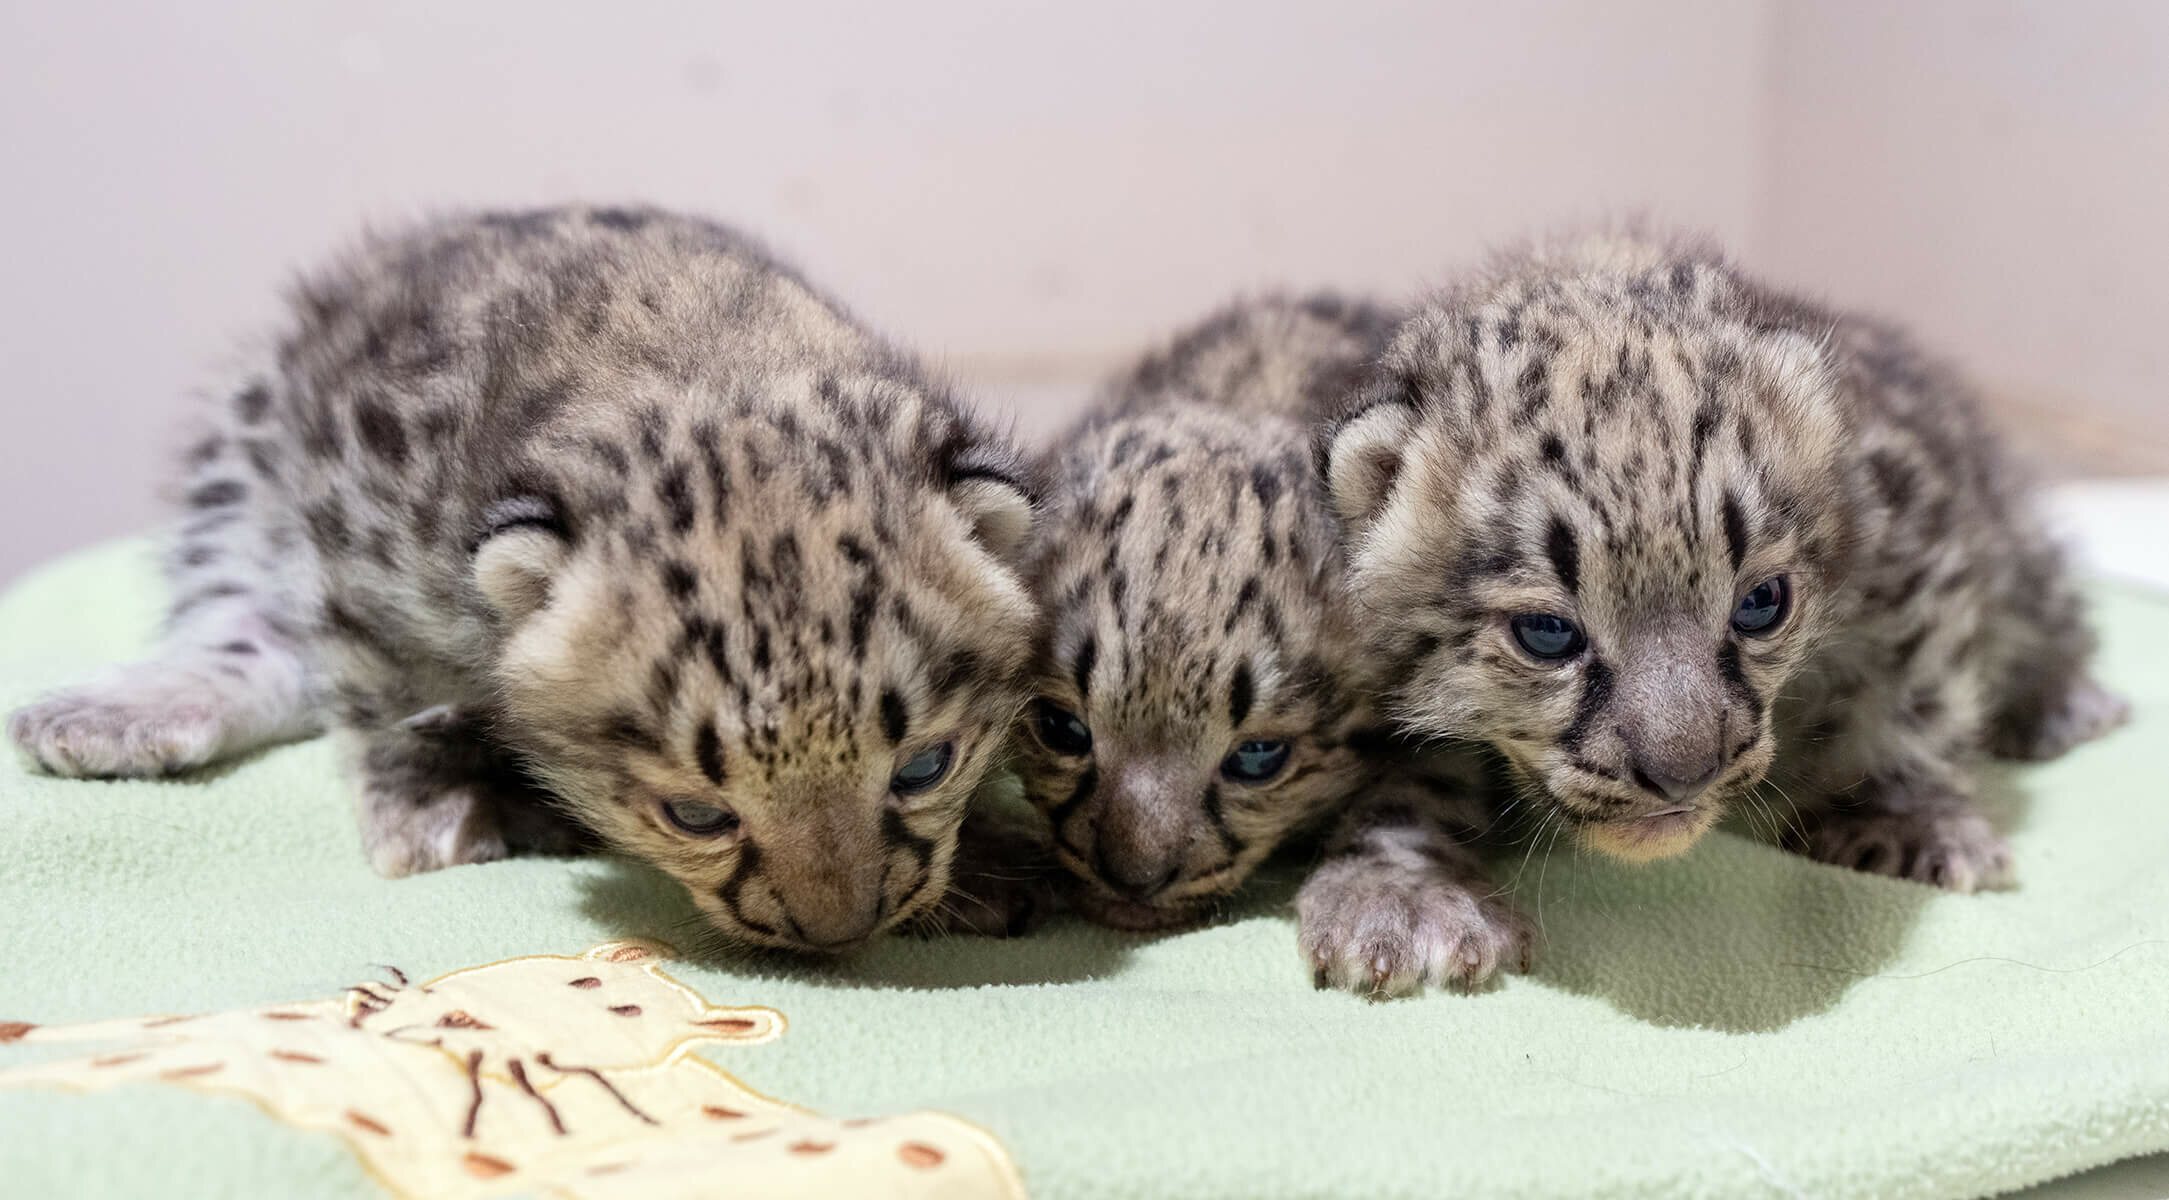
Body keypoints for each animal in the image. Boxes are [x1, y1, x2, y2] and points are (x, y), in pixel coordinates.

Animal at [7, 206, 1048, 954]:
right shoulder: (365, 550)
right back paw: (120, 715)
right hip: (242, 452)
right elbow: (384, 691)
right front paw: (425, 812)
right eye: (695, 814)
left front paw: (985, 861)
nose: (837, 932)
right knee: (241, 624)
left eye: (923, 767)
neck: (710, 380)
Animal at [1306, 226, 2127, 991]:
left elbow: (1914, 692)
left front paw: (1901, 820)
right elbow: (1409, 779)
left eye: (1762, 603)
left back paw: (2066, 706)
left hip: (2017, 552)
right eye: (1545, 633)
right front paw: (1404, 898)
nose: (1682, 774)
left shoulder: (1915, 537)